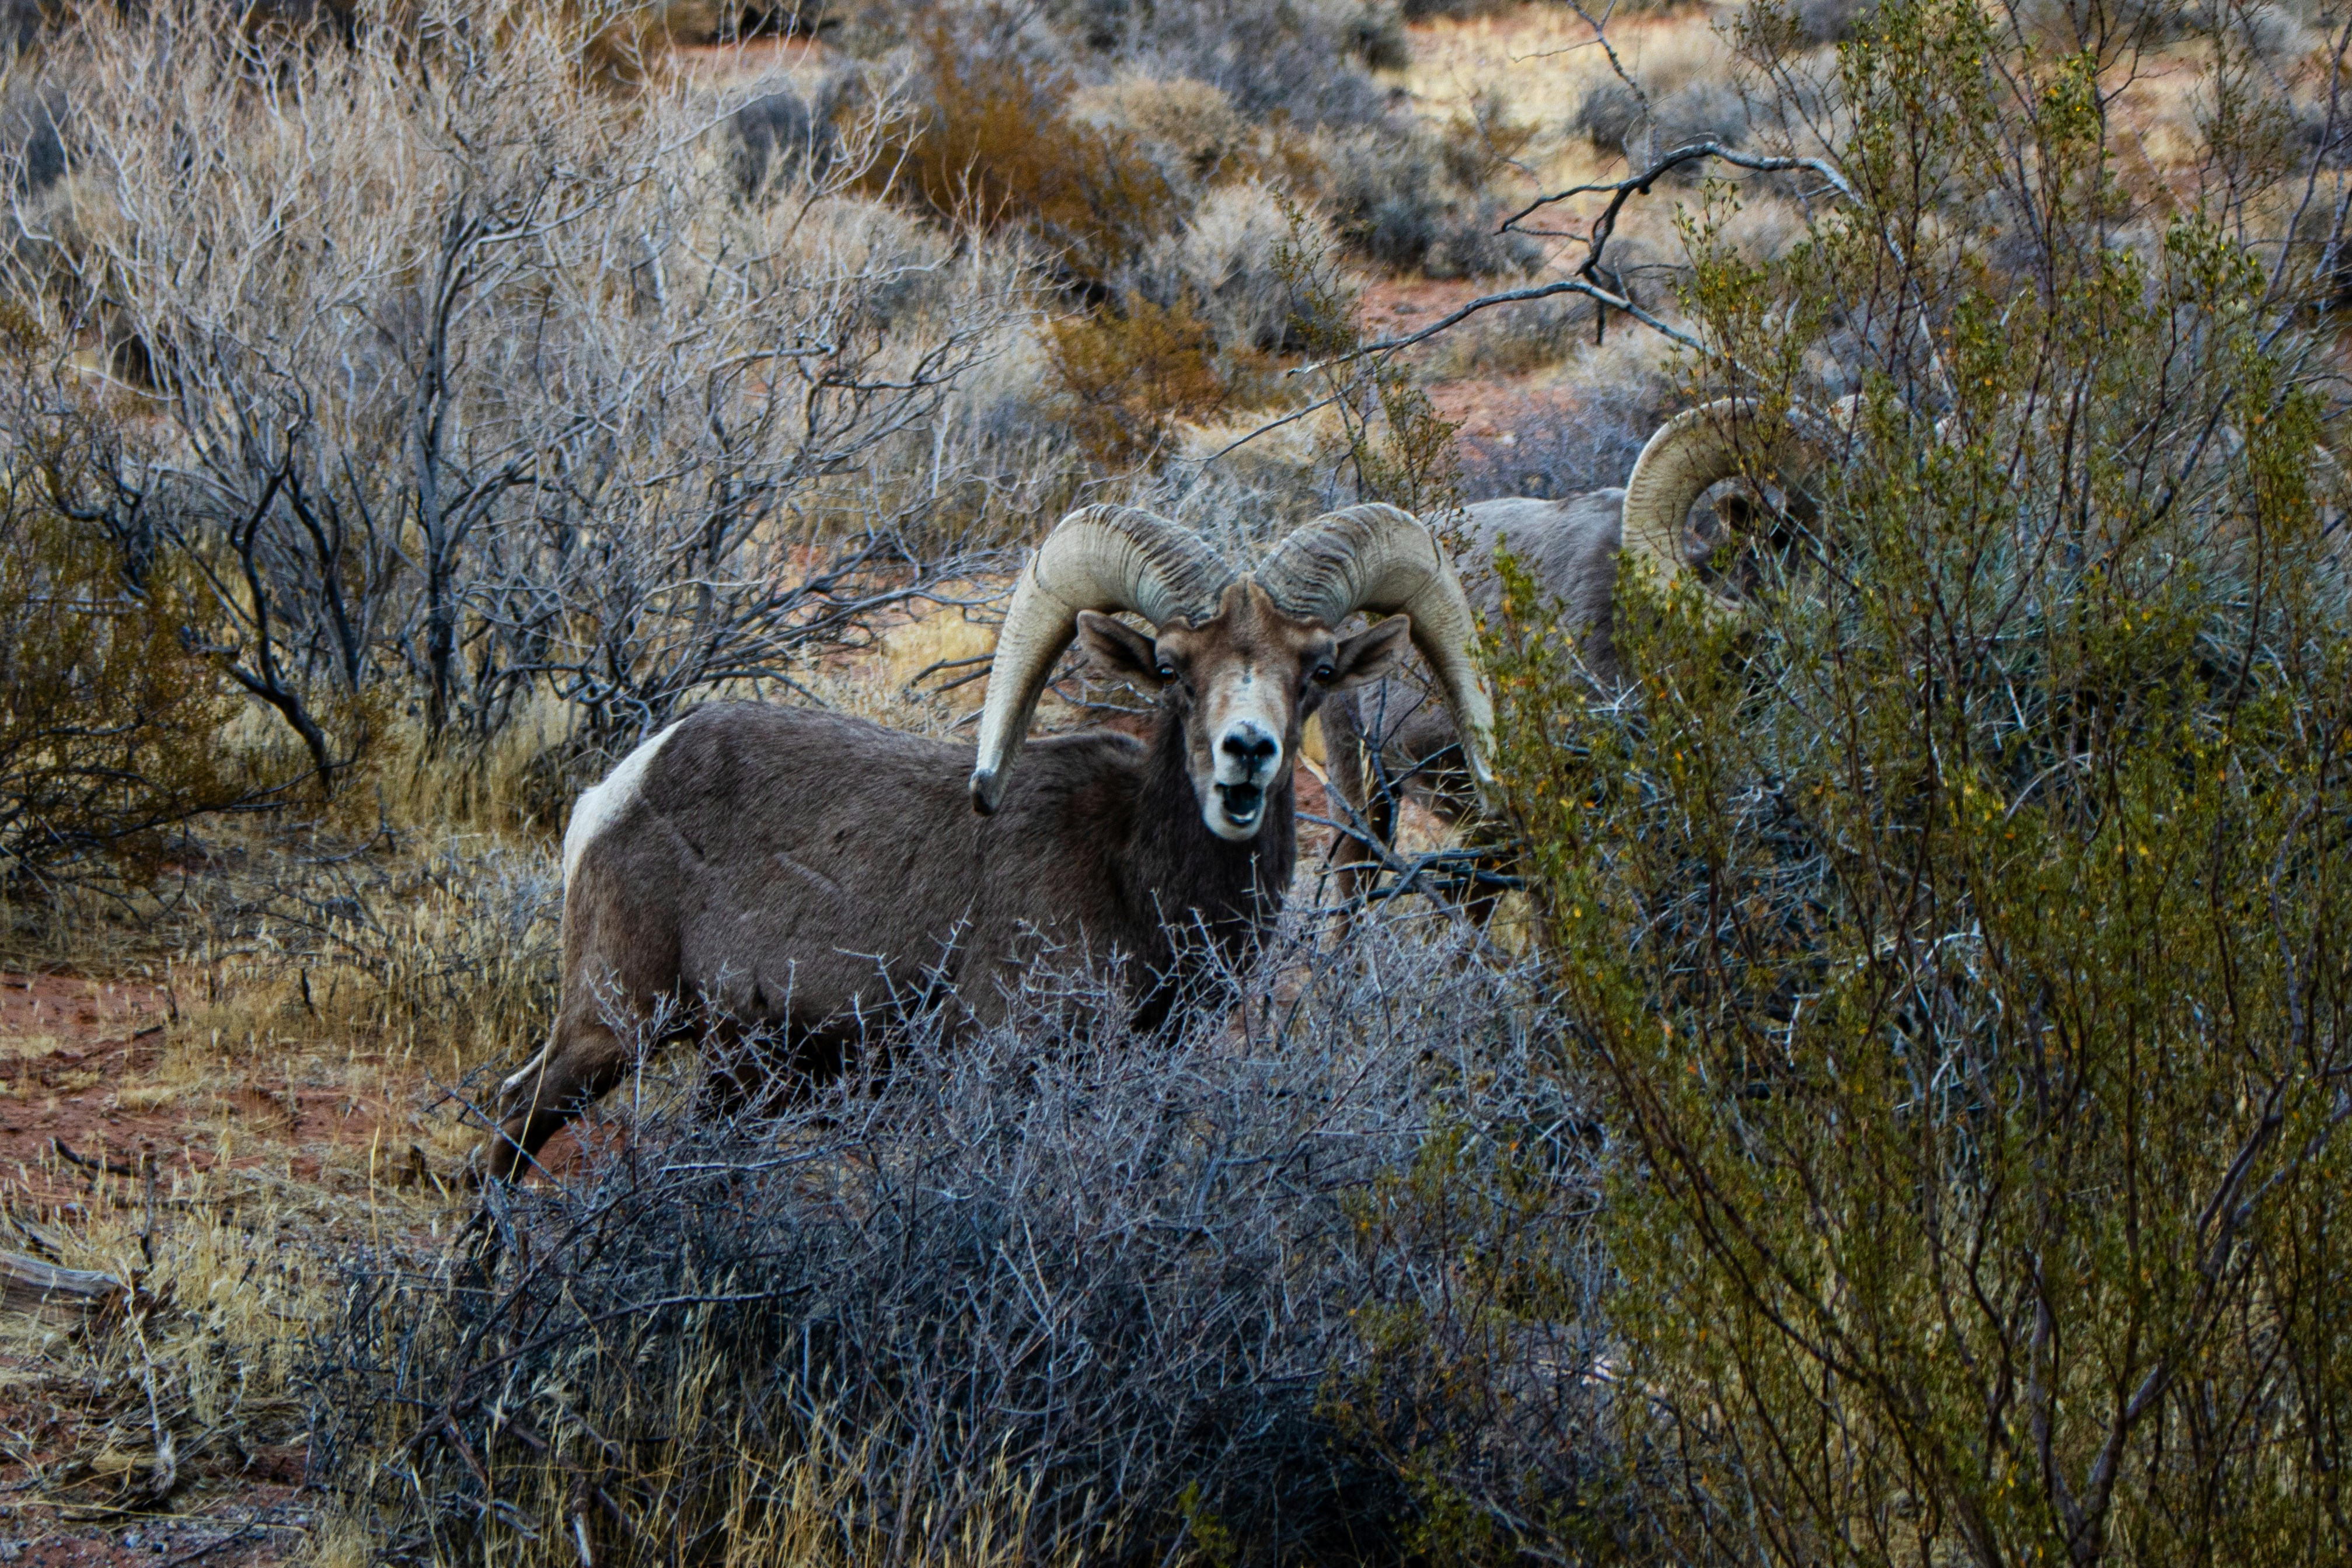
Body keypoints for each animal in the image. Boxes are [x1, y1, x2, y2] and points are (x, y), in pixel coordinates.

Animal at [479, 502, 1494, 1180]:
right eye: (1172, 667)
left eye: (1314, 669)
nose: (1247, 754)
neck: (1136, 888)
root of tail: (619, 788)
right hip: (612, 1027)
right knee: (510, 1126)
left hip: (737, 1073)